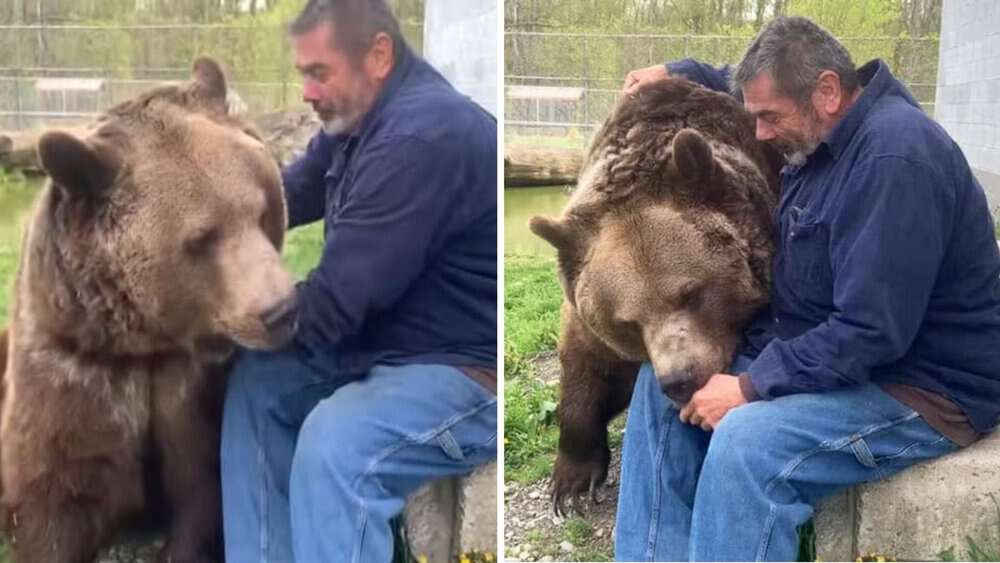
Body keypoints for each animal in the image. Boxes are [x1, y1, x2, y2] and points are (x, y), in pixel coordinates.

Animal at [0, 58, 297, 562]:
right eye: (201, 238)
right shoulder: (71, 368)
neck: (148, 342)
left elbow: (202, 488)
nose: (280, 309)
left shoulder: (191, 391)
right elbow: (54, 499)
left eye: (263, 211)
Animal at [530, 77, 784, 515]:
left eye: (691, 293)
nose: (680, 379)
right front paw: (571, 482)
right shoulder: (587, 315)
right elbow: (585, 365)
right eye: (626, 322)